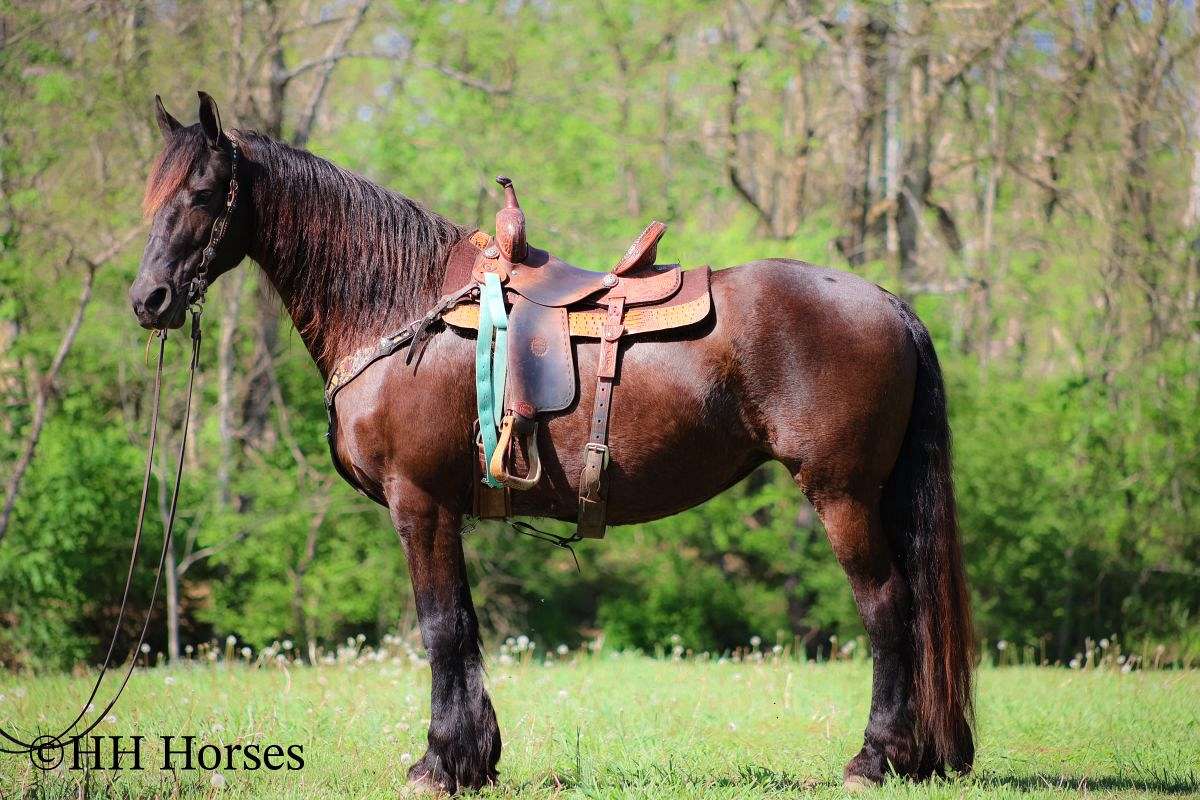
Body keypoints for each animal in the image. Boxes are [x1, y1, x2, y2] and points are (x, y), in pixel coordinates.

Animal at [130, 92, 974, 794]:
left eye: (201, 193)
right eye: (152, 195)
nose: (149, 300)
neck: (401, 307)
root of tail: (889, 302)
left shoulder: (419, 503)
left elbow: (440, 627)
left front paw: (441, 765)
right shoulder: (446, 510)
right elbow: (465, 627)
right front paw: (473, 758)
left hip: (842, 496)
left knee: (887, 607)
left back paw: (876, 758)